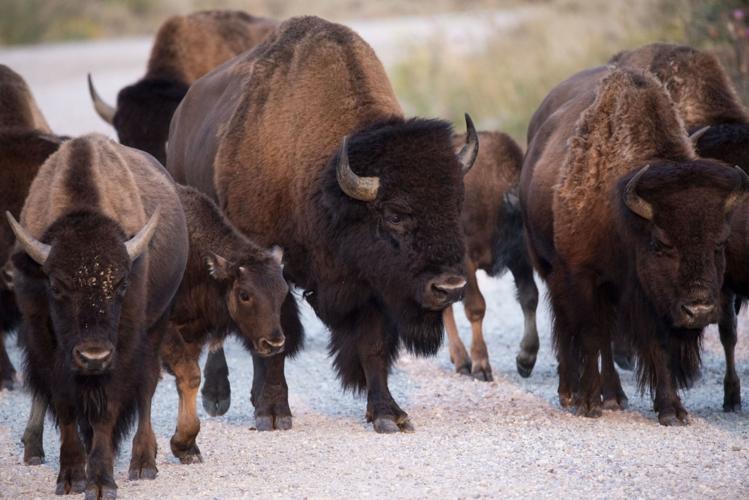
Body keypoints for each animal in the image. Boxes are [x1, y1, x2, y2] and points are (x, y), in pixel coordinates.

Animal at [10, 134, 188, 497]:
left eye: (122, 283)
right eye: (56, 285)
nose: (94, 356)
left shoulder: (122, 349)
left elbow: (107, 409)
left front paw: (102, 481)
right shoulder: (44, 343)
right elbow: (63, 404)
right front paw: (70, 476)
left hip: (157, 326)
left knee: (147, 387)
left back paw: (143, 463)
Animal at [167, 16, 477, 433]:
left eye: (456, 206)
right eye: (394, 214)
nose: (449, 287)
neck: (325, 186)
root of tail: (180, 117)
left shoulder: (368, 283)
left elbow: (372, 346)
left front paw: (388, 414)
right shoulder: (266, 269)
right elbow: (275, 340)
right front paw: (273, 413)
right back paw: (219, 396)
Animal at [444, 131, 539, 381]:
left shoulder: (520, 260)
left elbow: (530, 297)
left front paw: (526, 359)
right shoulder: (466, 263)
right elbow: (476, 307)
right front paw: (481, 366)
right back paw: (462, 361)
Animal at [521, 67, 747, 425]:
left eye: (721, 241)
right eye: (661, 242)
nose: (699, 309)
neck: (621, 217)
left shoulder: (654, 298)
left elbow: (656, 345)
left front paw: (672, 410)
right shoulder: (583, 278)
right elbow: (590, 336)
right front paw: (589, 404)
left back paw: (615, 395)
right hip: (548, 268)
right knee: (568, 327)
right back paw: (571, 392)